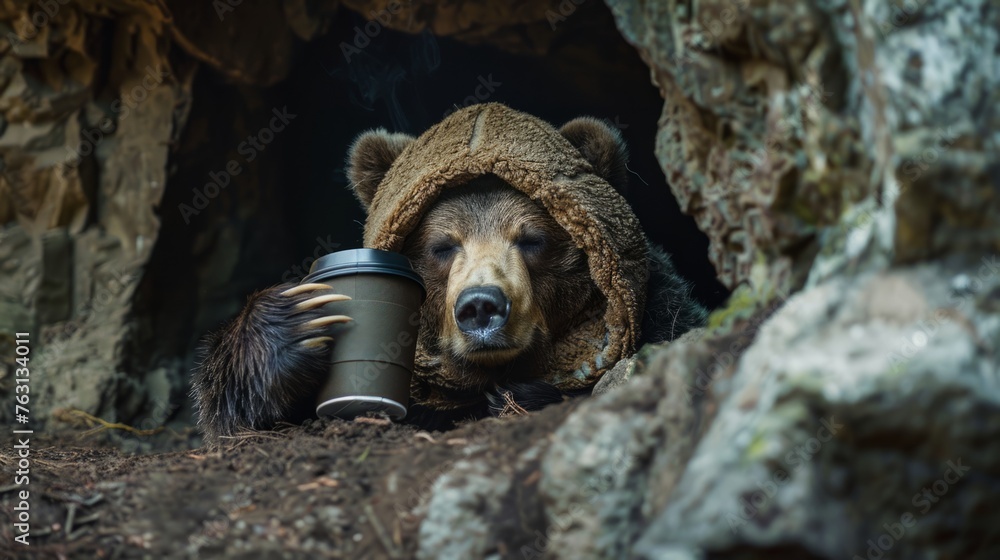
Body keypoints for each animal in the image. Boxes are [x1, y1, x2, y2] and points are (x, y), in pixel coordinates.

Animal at [191, 104, 706, 441]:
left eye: (531, 239)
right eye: (442, 246)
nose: (481, 305)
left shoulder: (664, 309)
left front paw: (520, 397)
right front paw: (296, 323)